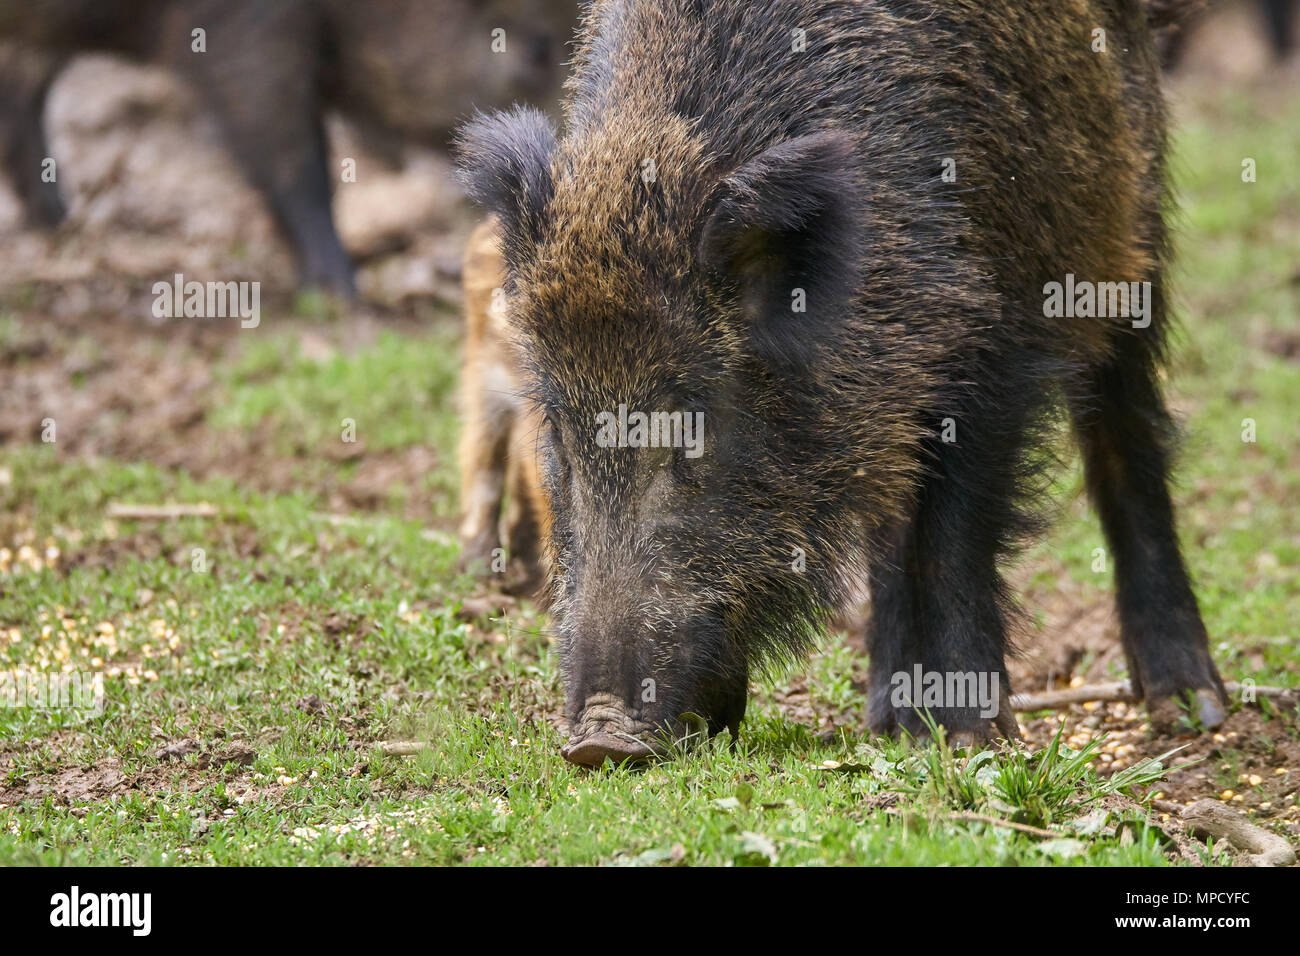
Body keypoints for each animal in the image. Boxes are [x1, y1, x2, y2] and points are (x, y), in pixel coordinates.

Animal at [457, 0, 1229, 765]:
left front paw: (975, 738)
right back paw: (893, 721)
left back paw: (1189, 705)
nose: (598, 742)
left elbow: (955, 539)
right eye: (558, 429)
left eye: (694, 425)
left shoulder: (996, 340)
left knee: (1125, 427)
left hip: (1125, 213)